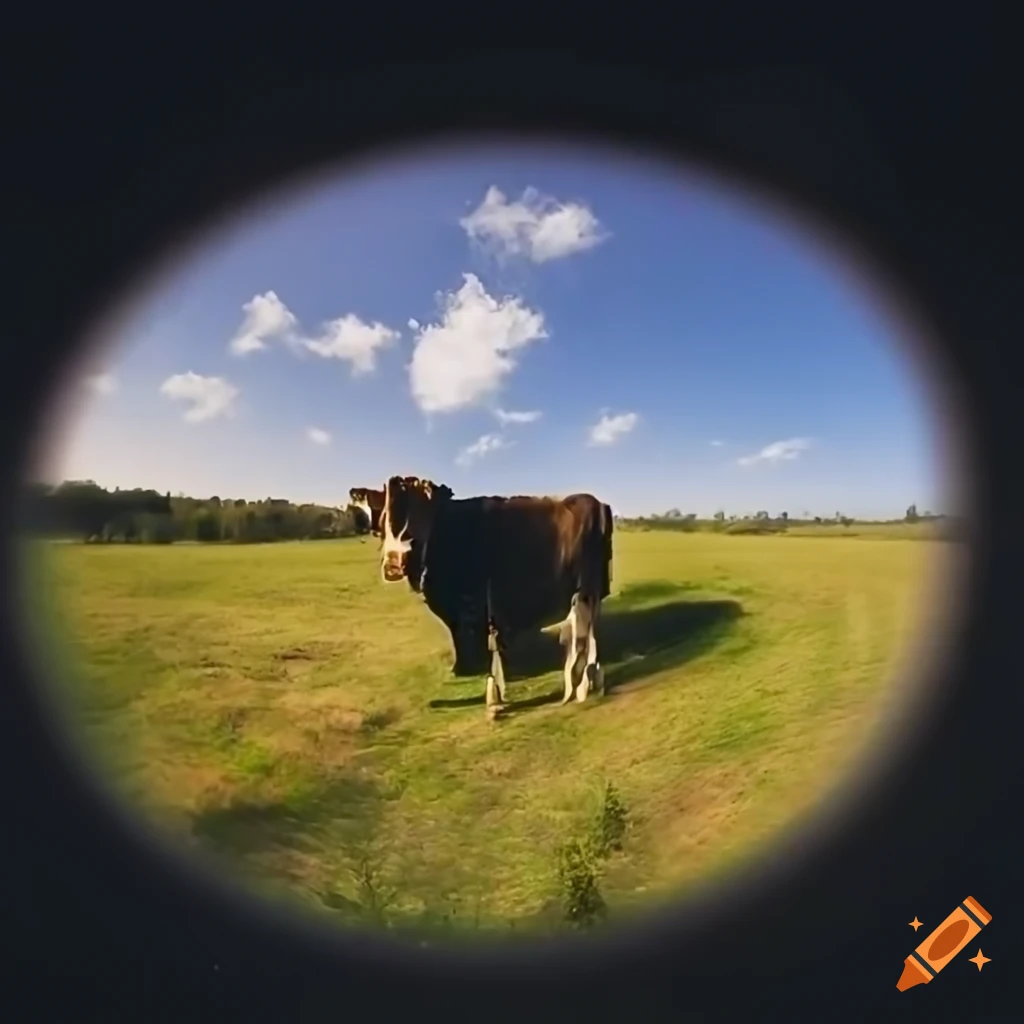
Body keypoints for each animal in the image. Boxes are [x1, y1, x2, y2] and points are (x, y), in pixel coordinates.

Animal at [379, 474, 613, 717]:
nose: (392, 566)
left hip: (585, 593)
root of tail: (595, 502)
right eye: (383, 519)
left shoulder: (470, 608)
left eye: (417, 518)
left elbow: (474, 644)